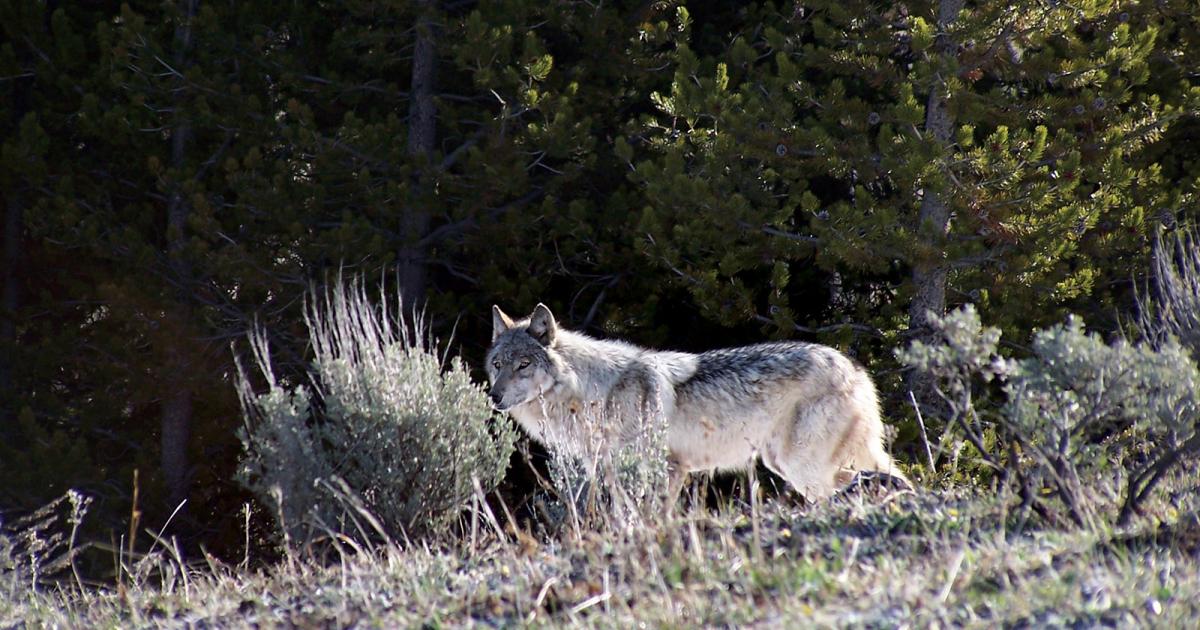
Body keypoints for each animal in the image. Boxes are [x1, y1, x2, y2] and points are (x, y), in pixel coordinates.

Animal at [486, 303, 907, 503]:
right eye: (497, 365)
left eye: (524, 364)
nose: (495, 396)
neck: (595, 394)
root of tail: (855, 369)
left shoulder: (667, 470)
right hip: (792, 465)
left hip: (803, 467)